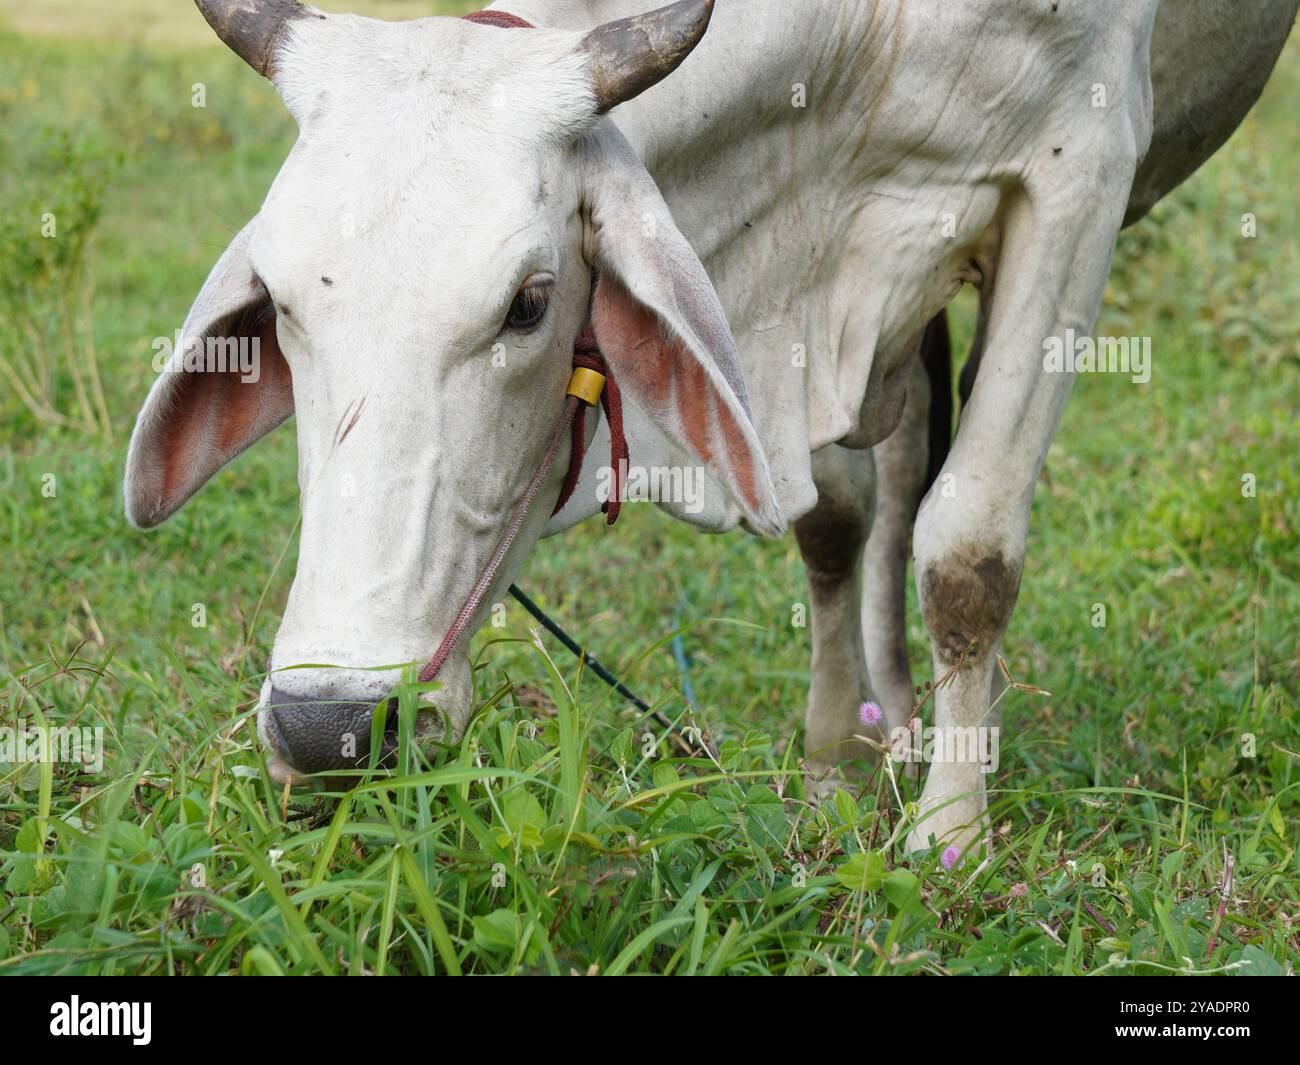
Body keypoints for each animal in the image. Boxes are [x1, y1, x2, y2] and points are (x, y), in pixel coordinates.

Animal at [124, 0, 1296, 857]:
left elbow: (968, 554)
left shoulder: (1081, 168)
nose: (326, 726)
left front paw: (950, 835)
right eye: (280, 304)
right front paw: (830, 770)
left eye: (529, 304)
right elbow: (831, 519)